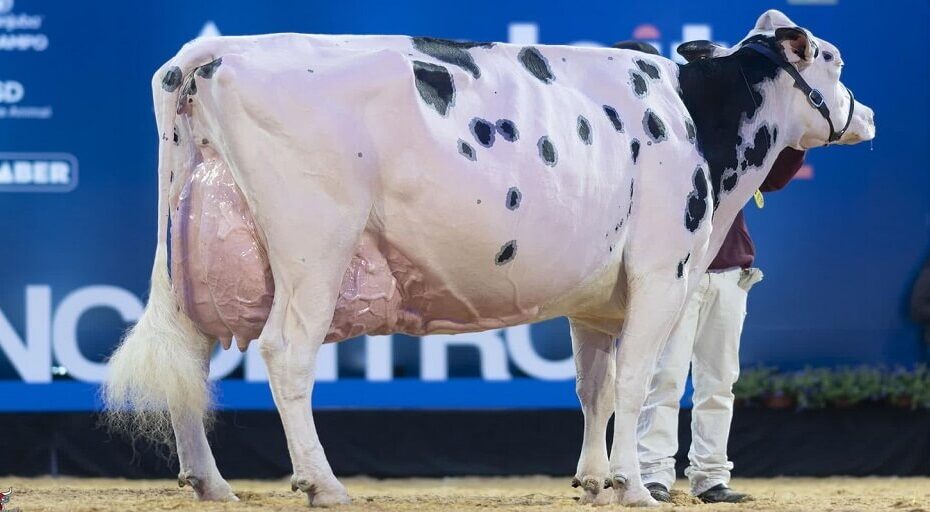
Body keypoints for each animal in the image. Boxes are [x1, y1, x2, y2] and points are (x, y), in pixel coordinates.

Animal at [104, 9, 874, 507]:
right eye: (833, 59)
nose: (865, 116)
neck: (698, 120)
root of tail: (217, 53)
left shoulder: (600, 296)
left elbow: (593, 388)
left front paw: (594, 480)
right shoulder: (663, 271)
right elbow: (635, 384)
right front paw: (634, 488)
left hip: (192, 249)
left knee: (188, 356)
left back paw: (211, 484)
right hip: (313, 244)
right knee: (286, 353)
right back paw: (324, 484)